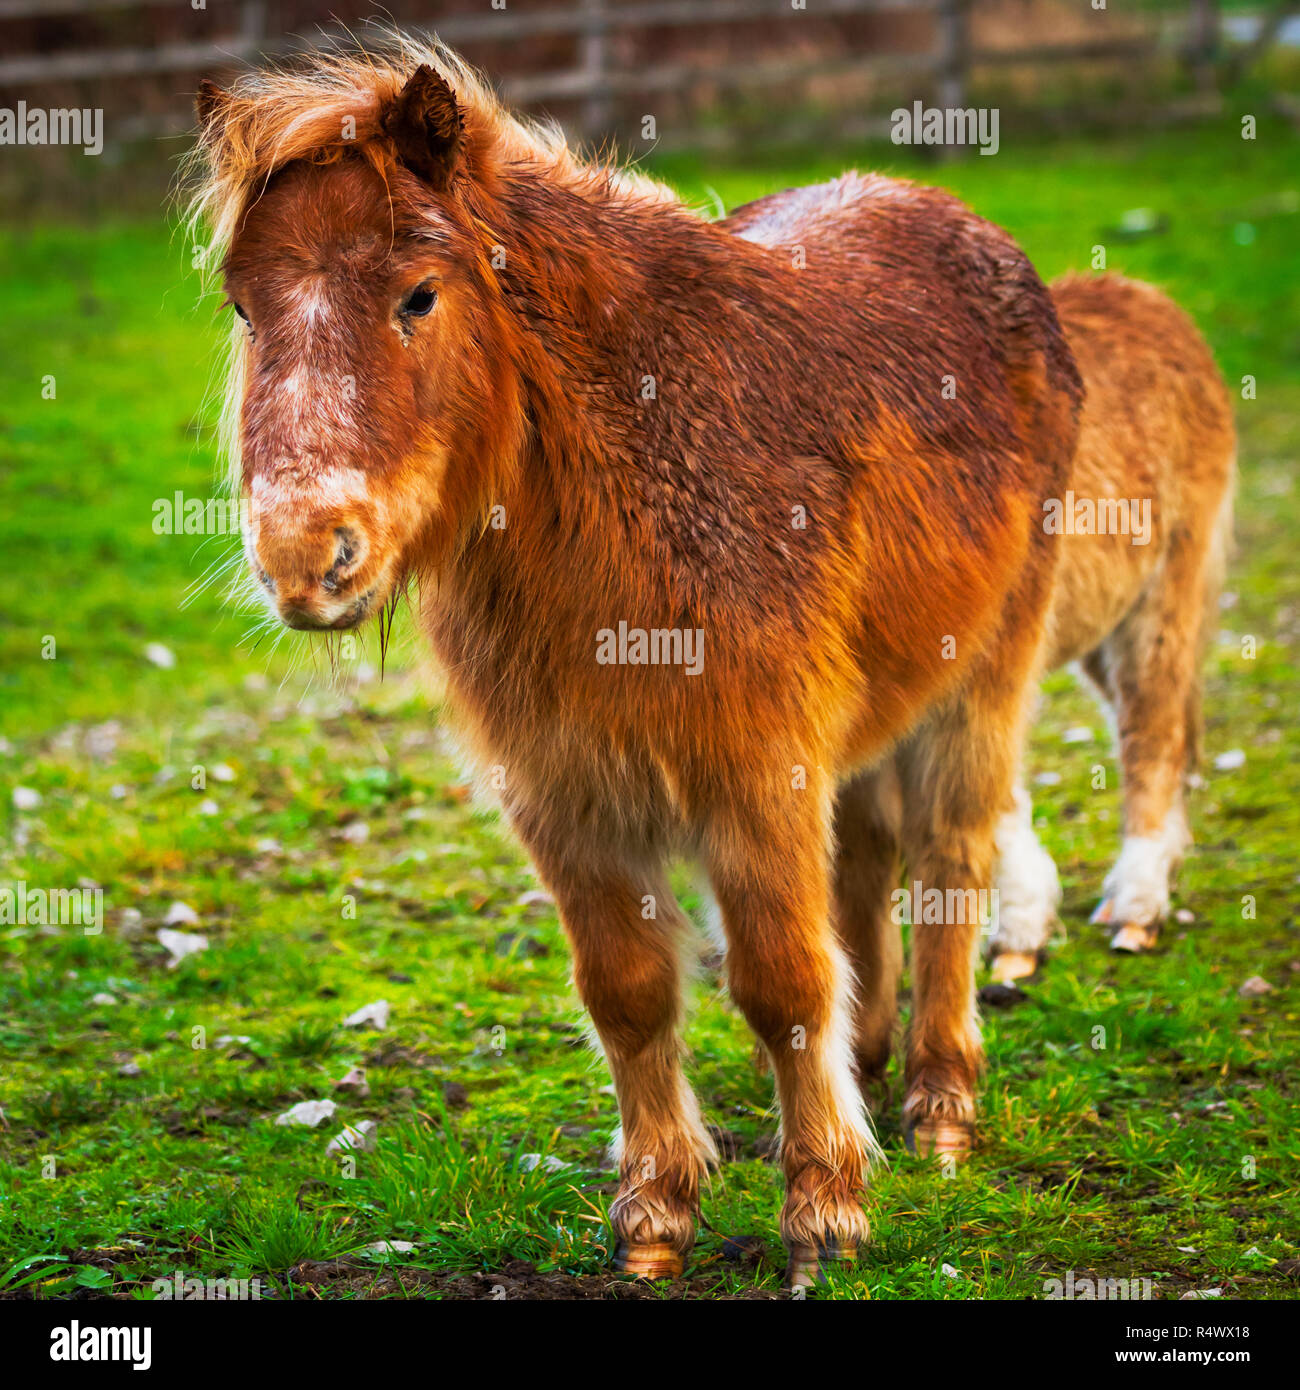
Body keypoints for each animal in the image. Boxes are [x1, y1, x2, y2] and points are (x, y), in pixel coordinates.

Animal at [186, 35, 1233, 1287]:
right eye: (243, 308)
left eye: (418, 295)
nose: (305, 559)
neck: (622, 479)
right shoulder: (568, 797)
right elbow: (630, 995)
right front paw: (656, 1214)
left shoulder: (754, 770)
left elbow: (780, 982)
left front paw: (826, 1209)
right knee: (869, 863)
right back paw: (868, 1062)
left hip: (987, 675)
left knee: (953, 857)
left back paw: (938, 1102)